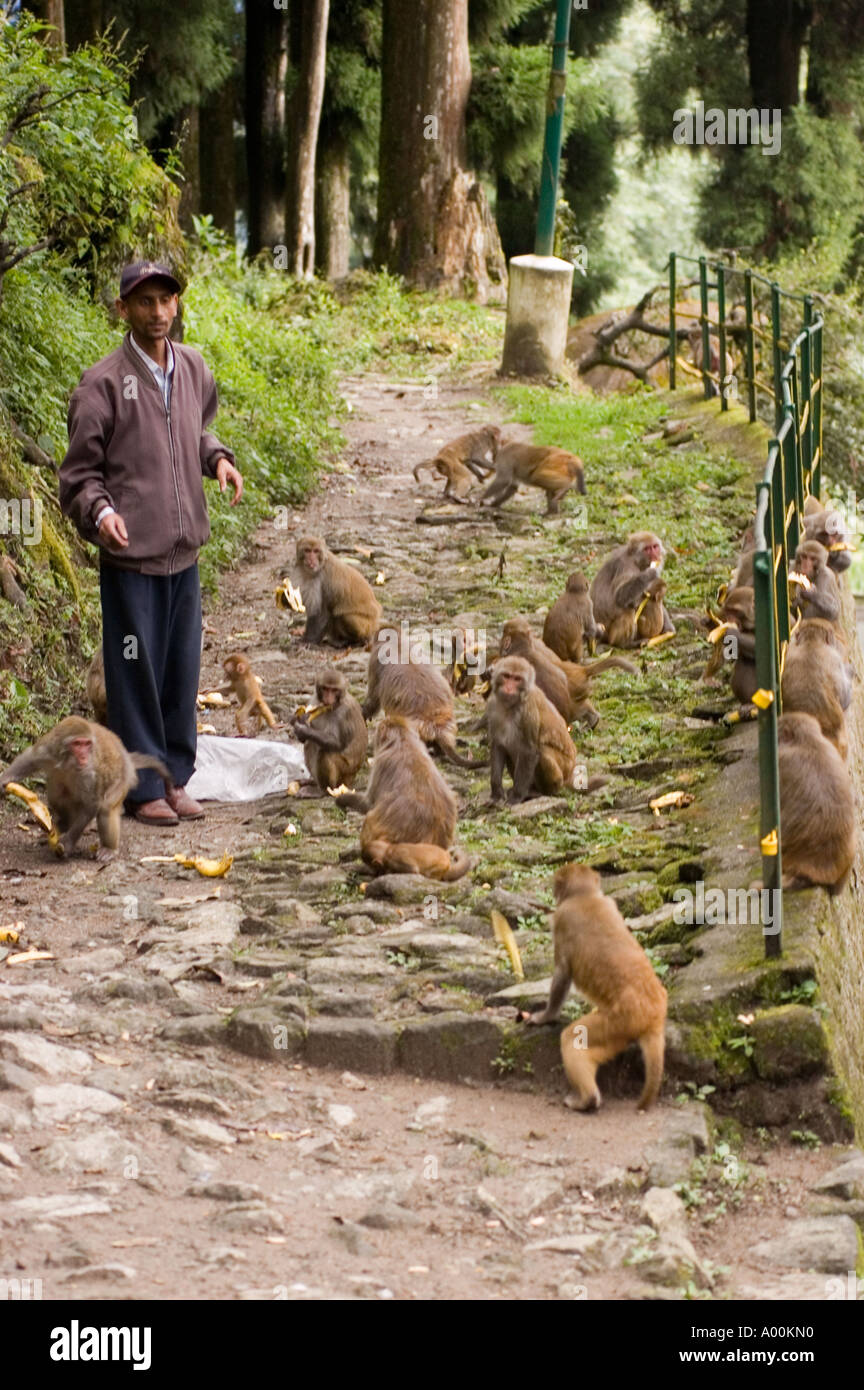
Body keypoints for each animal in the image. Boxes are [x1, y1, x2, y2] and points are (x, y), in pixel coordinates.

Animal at [0, 716, 173, 862]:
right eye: (78, 744)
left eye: (87, 744)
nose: (84, 757)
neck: (67, 762)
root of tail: (126, 757)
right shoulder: (47, 751)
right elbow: (28, 759)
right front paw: (3, 780)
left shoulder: (89, 774)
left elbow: (92, 804)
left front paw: (68, 843)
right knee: (58, 793)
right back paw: (63, 823)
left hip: (123, 778)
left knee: (105, 809)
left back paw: (108, 848)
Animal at [486, 656, 577, 802]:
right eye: (507, 676)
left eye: (517, 679)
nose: (509, 687)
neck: (511, 706)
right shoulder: (492, 706)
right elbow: (498, 746)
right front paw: (496, 792)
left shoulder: (528, 711)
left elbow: (528, 751)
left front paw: (516, 797)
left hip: (565, 767)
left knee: (542, 750)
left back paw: (545, 791)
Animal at [525, 863, 667, 1111]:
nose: (554, 893)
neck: (585, 896)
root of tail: (654, 1015)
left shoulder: (562, 919)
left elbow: (562, 974)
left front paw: (545, 1016)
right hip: (622, 1027)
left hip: (619, 1021)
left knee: (572, 1037)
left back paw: (587, 1099)